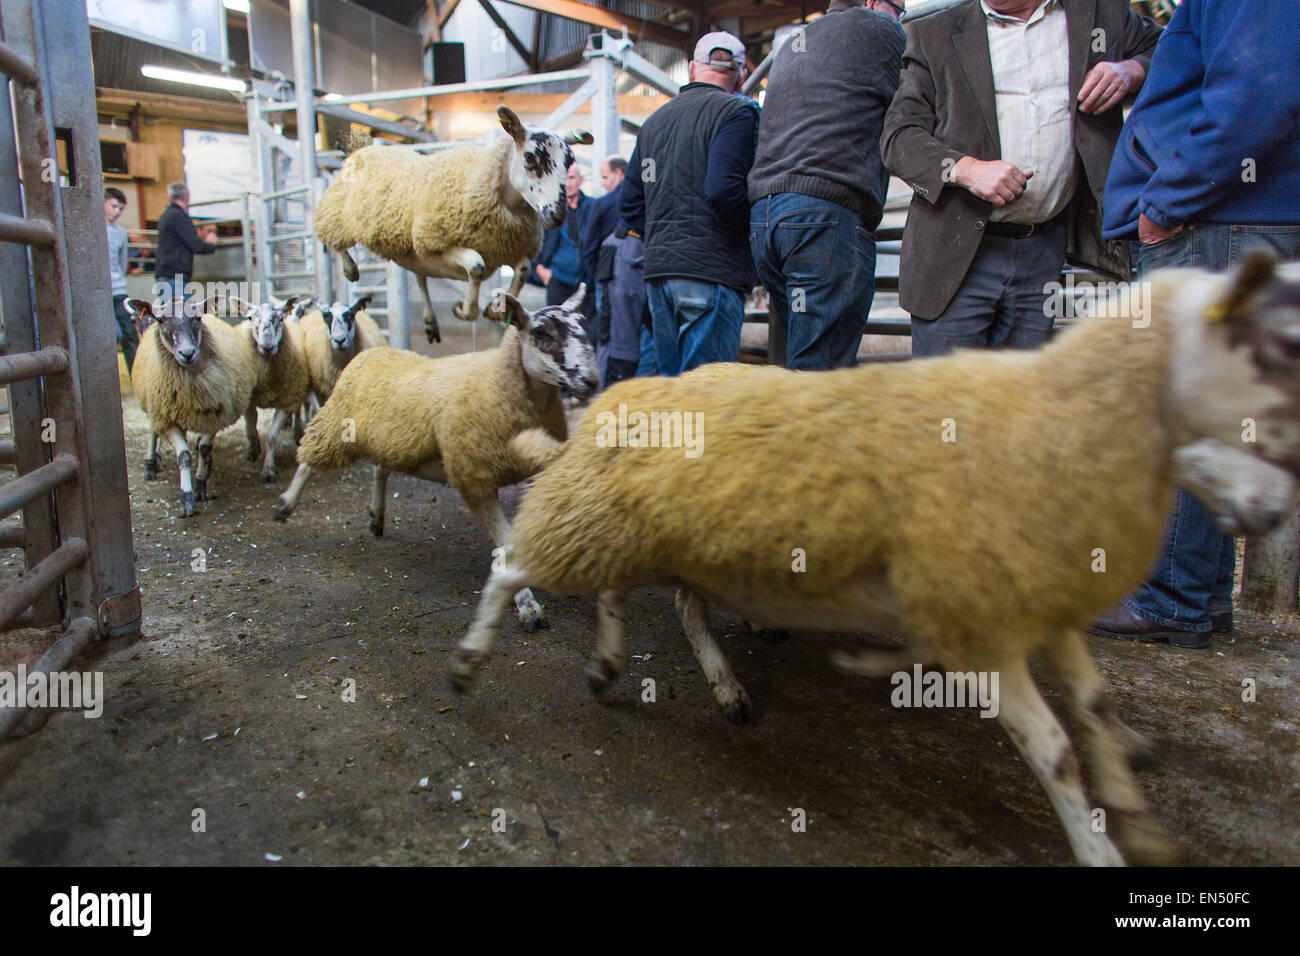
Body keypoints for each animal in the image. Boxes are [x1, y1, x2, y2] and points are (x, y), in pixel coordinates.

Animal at [126, 297, 259, 517]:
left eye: (197, 318)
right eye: (161, 320)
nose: (187, 353)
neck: (192, 393)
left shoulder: (215, 414)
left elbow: (204, 449)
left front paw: (199, 485)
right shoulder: (168, 420)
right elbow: (184, 456)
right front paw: (186, 500)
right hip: (154, 408)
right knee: (153, 432)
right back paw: (150, 464)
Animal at [271, 285, 597, 629]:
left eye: (583, 323)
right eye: (540, 331)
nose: (591, 380)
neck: (498, 381)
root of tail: (372, 353)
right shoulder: (474, 478)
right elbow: (507, 545)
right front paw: (528, 607)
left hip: (389, 440)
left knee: (380, 469)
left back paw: (376, 516)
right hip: (335, 425)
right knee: (308, 460)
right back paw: (284, 505)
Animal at [313, 105, 593, 343]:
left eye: (569, 161)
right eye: (531, 158)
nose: (557, 214)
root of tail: (362, 149)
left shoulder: (504, 247)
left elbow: (524, 269)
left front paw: (495, 309)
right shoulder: (437, 247)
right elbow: (477, 267)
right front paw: (464, 310)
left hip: (412, 250)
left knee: (420, 279)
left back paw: (430, 322)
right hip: (340, 214)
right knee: (331, 238)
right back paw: (350, 269)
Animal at [448, 253, 1300, 867]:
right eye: (1276, 349)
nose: (1271, 512)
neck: (1052, 421)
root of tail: (625, 391)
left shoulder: (1045, 602)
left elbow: (1096, 708)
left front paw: (1133, 816)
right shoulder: (977, 625)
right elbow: (1057, 752)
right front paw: (1098, 847)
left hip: (649, 530)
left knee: (638, 598)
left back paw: (639, 670)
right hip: (598, 517)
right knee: (512, 567)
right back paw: (472, 660)